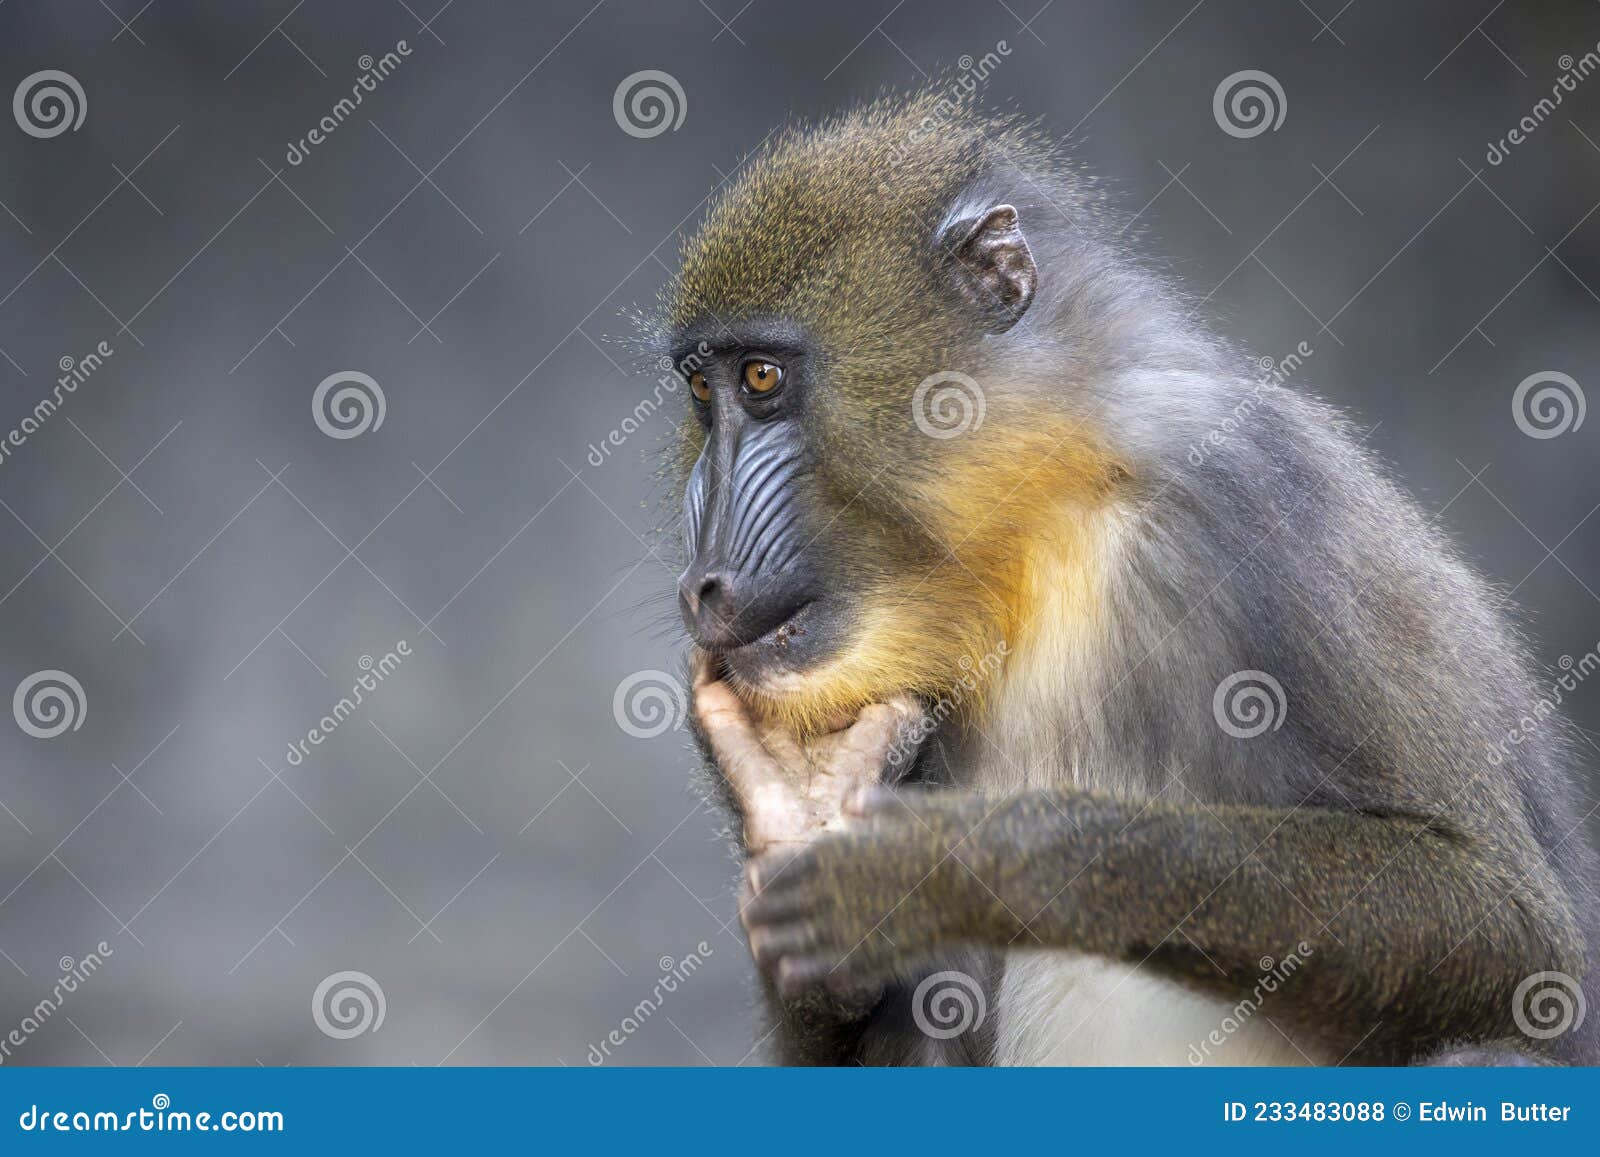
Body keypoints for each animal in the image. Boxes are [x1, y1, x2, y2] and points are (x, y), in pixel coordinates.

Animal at [648, 92, 1600, 1066]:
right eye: (702, 394)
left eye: (761, 376)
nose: (702, 585)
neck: (1042, 523)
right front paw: (786, 803)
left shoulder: (1255, 513)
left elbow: (1509, 927)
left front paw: (944, 866)